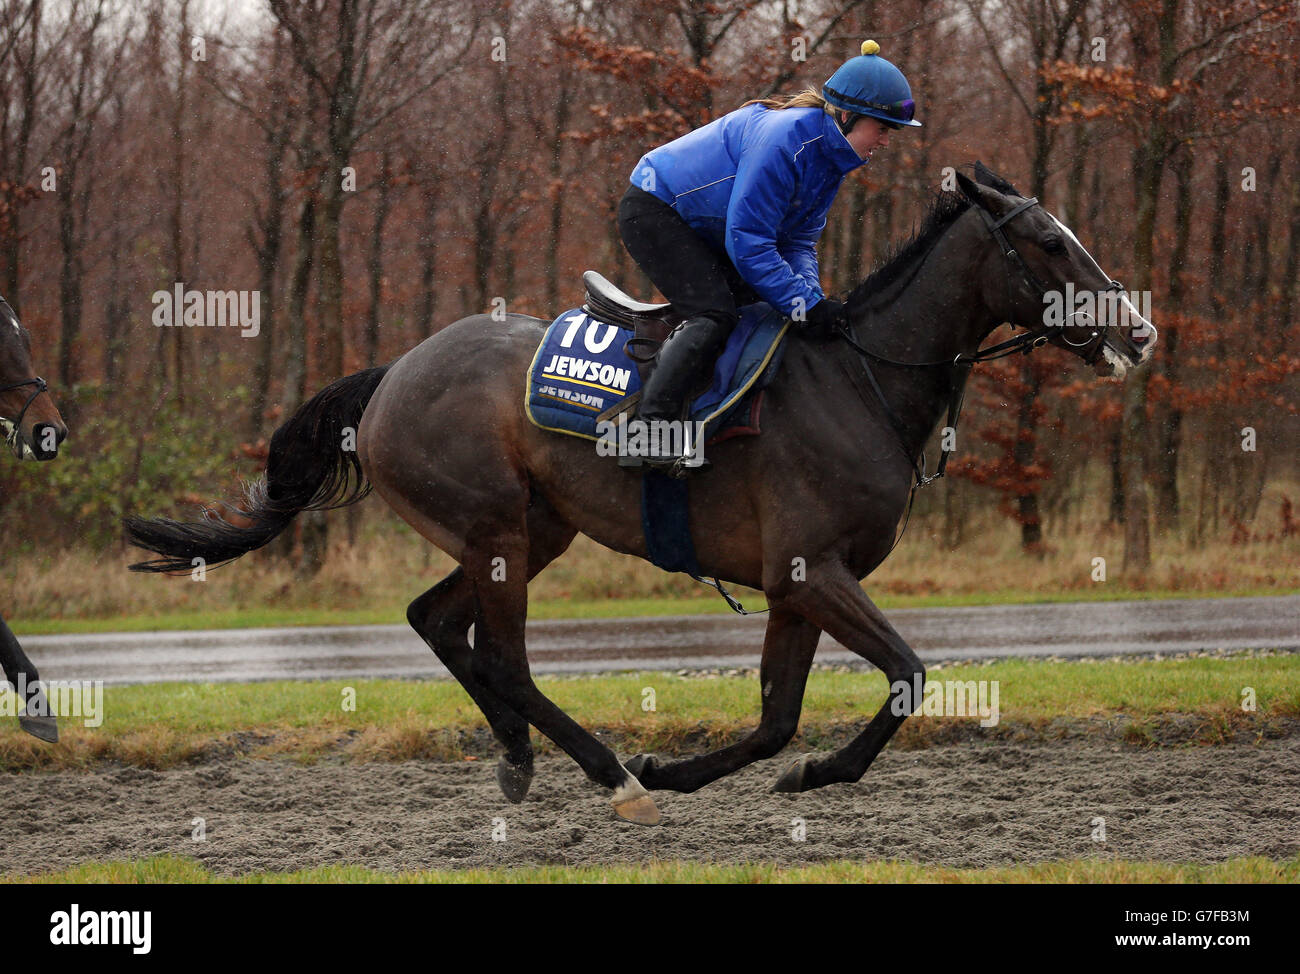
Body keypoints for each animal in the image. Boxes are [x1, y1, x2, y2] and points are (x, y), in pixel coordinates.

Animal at [125, 164, 1156, 825]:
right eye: (1050, 241)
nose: (1137, 332)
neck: (857, 379)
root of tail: (389, 377)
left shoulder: (795, 587)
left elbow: (776, 722)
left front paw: (710, 772)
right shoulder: (813, 569)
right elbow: (907, 674)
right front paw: (793, 770)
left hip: (533, 530)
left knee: (435, 622)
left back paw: (520, 758)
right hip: (497, 530)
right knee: (502, 657)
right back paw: (604, 772)